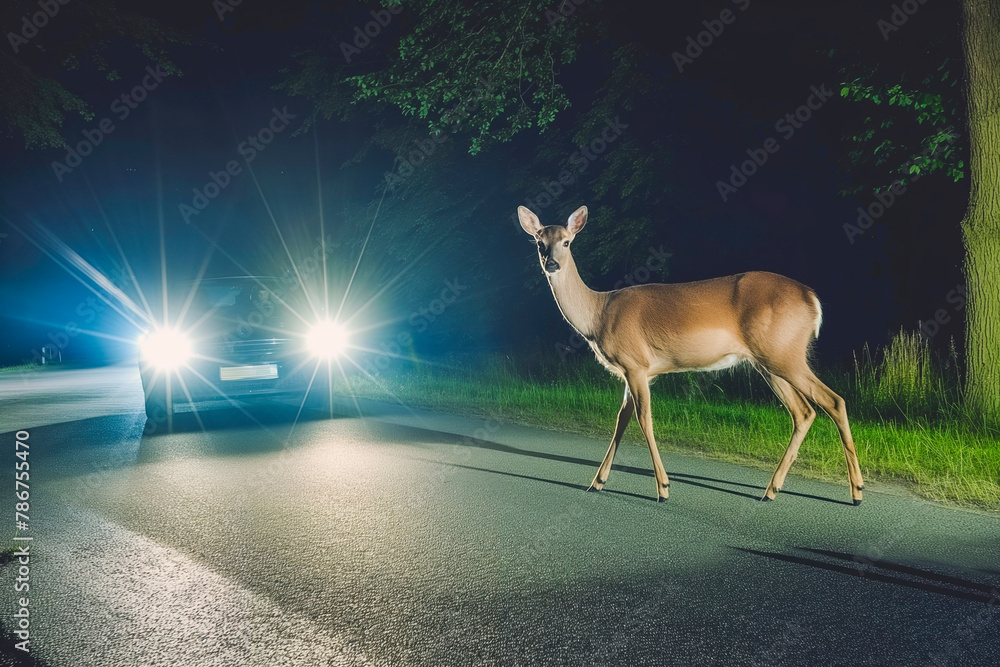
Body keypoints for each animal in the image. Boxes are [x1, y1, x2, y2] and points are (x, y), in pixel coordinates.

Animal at [518, 205, 864, 505]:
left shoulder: (636, 364)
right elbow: (621, 420)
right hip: (769, 362)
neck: (598, 315)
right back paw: (771, 490)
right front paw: (597, 482)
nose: (551, 264)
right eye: (539, 242)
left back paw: (857, 491)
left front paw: (663, 488)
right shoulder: (630, 371)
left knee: (834, 401)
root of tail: (812, 298)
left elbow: (644, 420)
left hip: (784, 354)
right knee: (803, 411)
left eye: (566, 241)